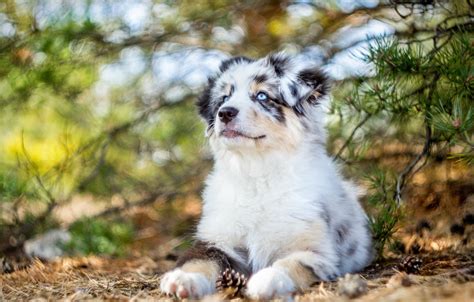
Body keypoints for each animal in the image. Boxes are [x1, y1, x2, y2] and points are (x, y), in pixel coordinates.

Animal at [160, 53, 374, 298]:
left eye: (262, 96)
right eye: (224, 97)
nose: (225, 112)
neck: (257, 173)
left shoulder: (317, 251)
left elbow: (291, 264)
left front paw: (267, 279)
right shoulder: (217, 240)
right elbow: (198, 261)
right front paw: (183, 279)